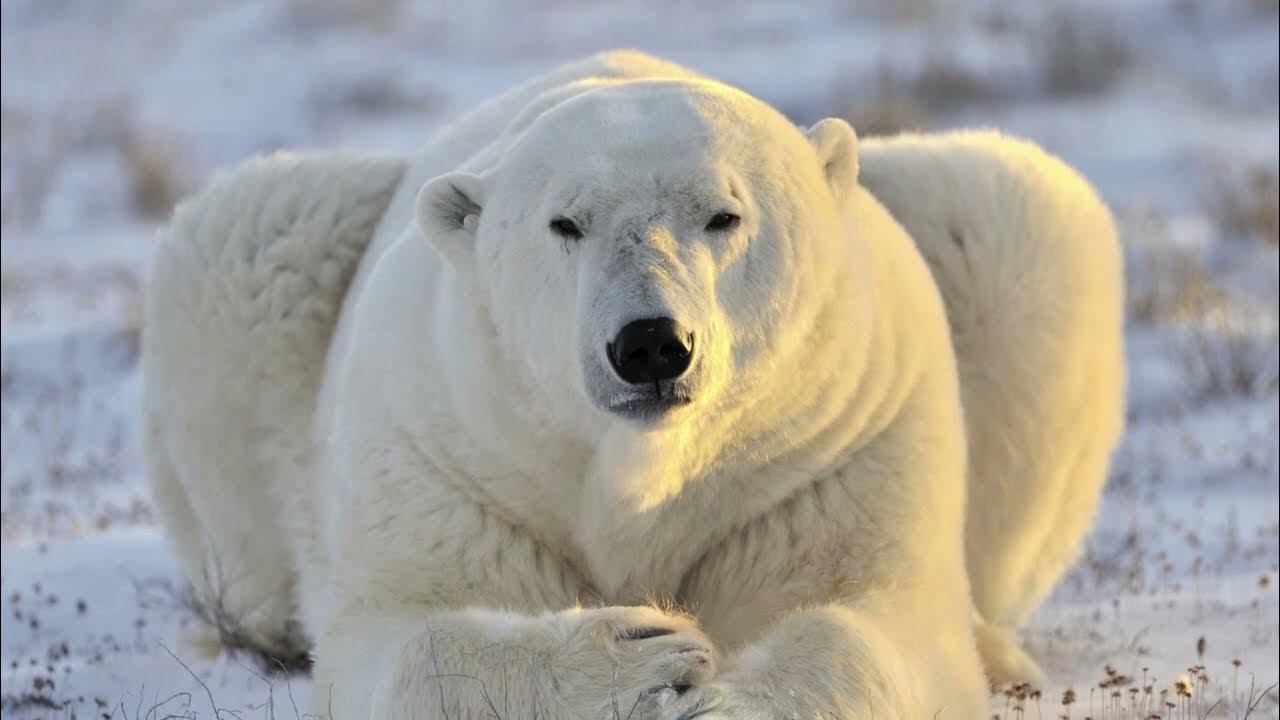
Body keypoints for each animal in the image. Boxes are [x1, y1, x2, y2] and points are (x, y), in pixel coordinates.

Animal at [141, 50, 1123, 718]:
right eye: (565, 223)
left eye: (724, 214)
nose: (652, 345)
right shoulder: (446, 448)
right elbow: (399, 634)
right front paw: (644, 654)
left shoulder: (838, 446)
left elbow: (877, 614)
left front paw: (727, 699)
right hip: (267, 266)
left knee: (1014, 208)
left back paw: (1005, 653)